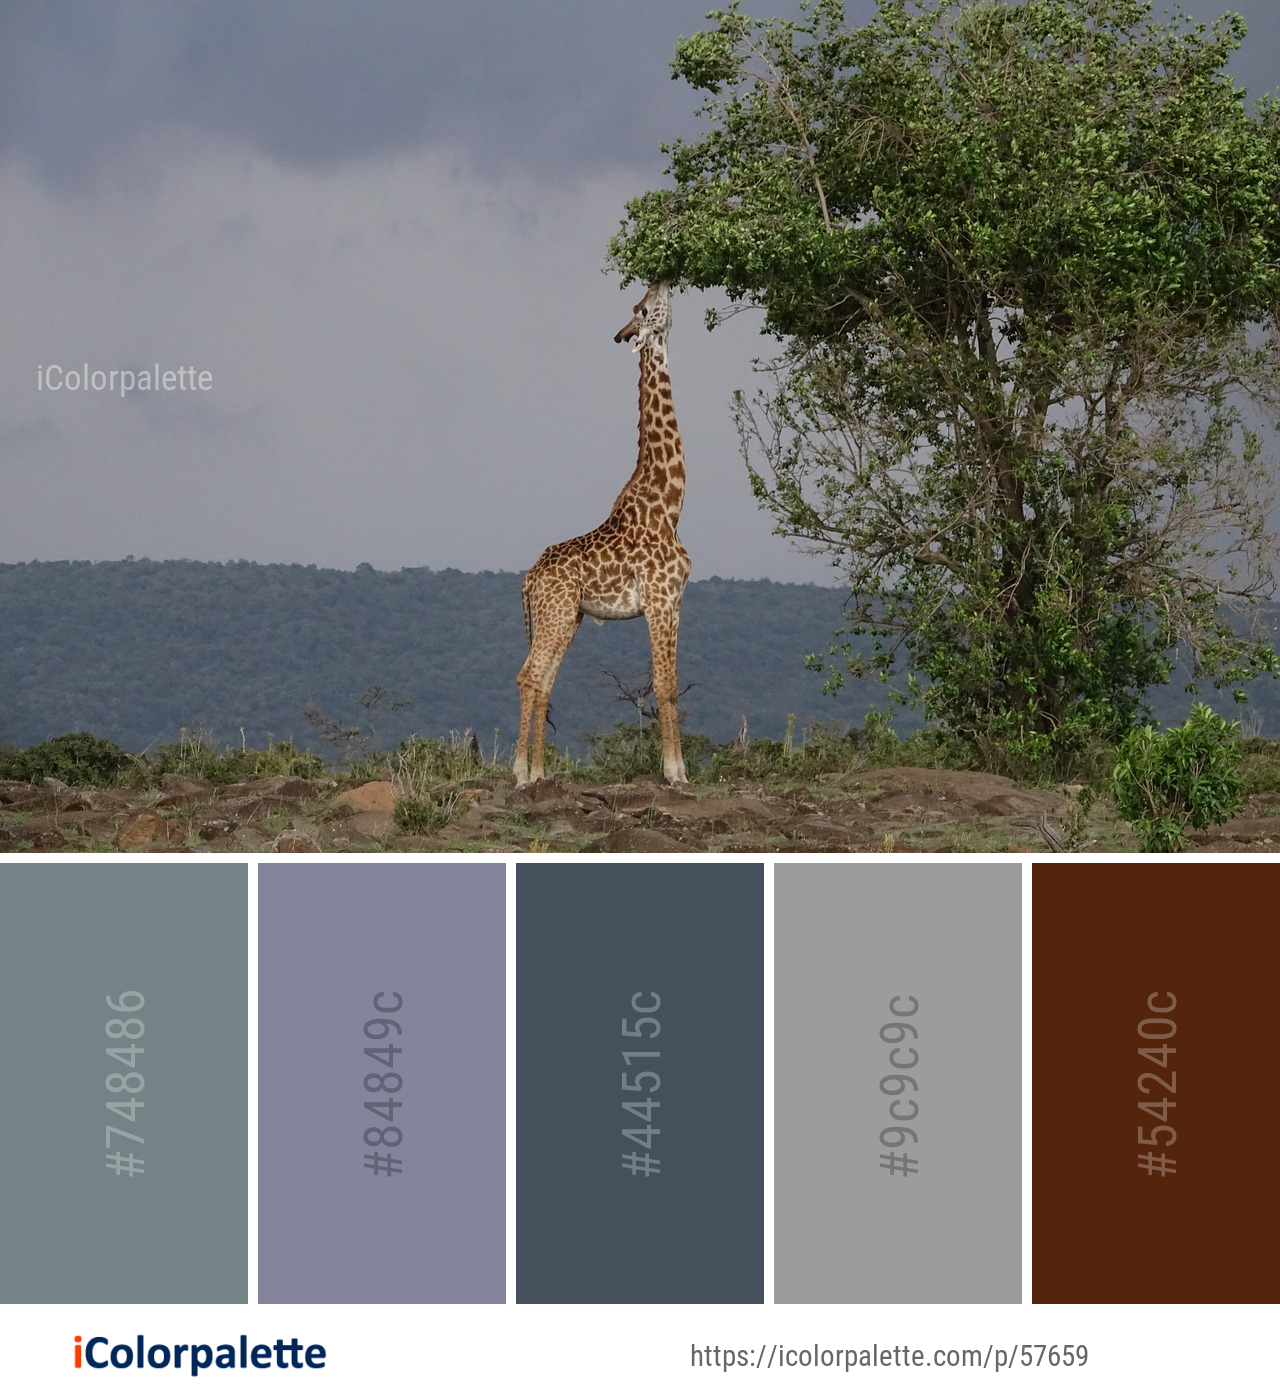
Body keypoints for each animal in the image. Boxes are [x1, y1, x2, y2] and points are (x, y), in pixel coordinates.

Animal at [514, 280, 691, 786]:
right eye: (644, 309)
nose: (663, 278)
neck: (671, 505)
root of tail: (528, 579)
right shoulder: (660, 598)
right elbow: (665, 684)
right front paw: (675, 773)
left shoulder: (675, 601)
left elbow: (671, 684)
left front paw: (679, 770)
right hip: (556, 617)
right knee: (530, 676)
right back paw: (520, 772)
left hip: (564, 618)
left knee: (543, 680)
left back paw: (539, 772)